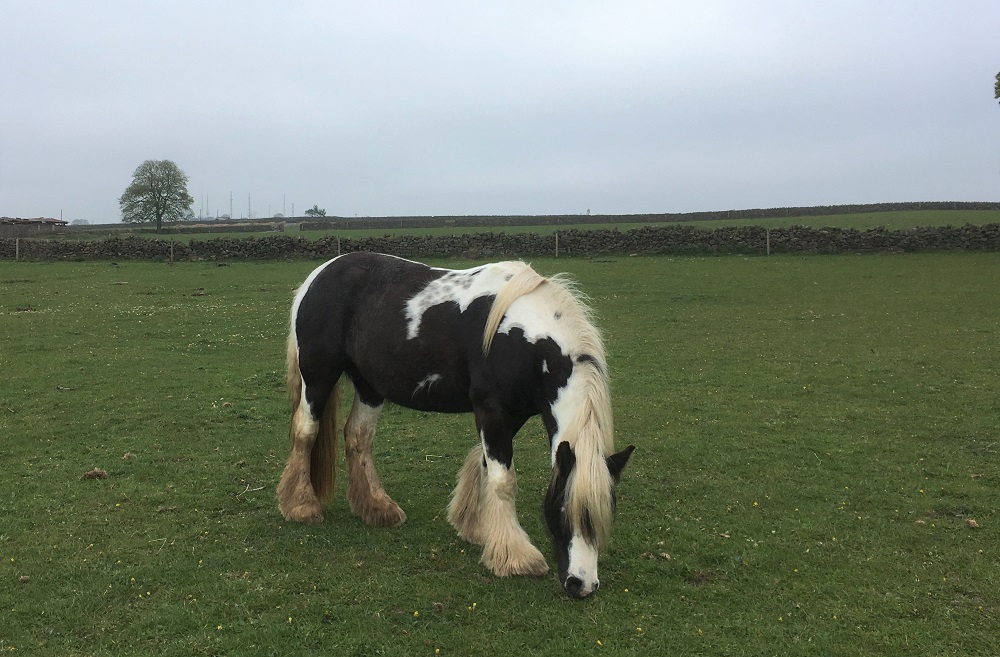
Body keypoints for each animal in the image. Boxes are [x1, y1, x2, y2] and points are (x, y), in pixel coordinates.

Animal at [276, 252, 634, 598]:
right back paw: (301, 506)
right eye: (561, 510)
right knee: (305, 431)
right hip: (318, 376)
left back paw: (378, 508)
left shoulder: (513, 414)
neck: (520, 334)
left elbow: (485, 464)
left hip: (369, 387)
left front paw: (476, 529)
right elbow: (503, 480)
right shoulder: (492, 410)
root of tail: (319, 274)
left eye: (608, 511)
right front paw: (515, 557)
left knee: (358, 437)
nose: (582, 585)